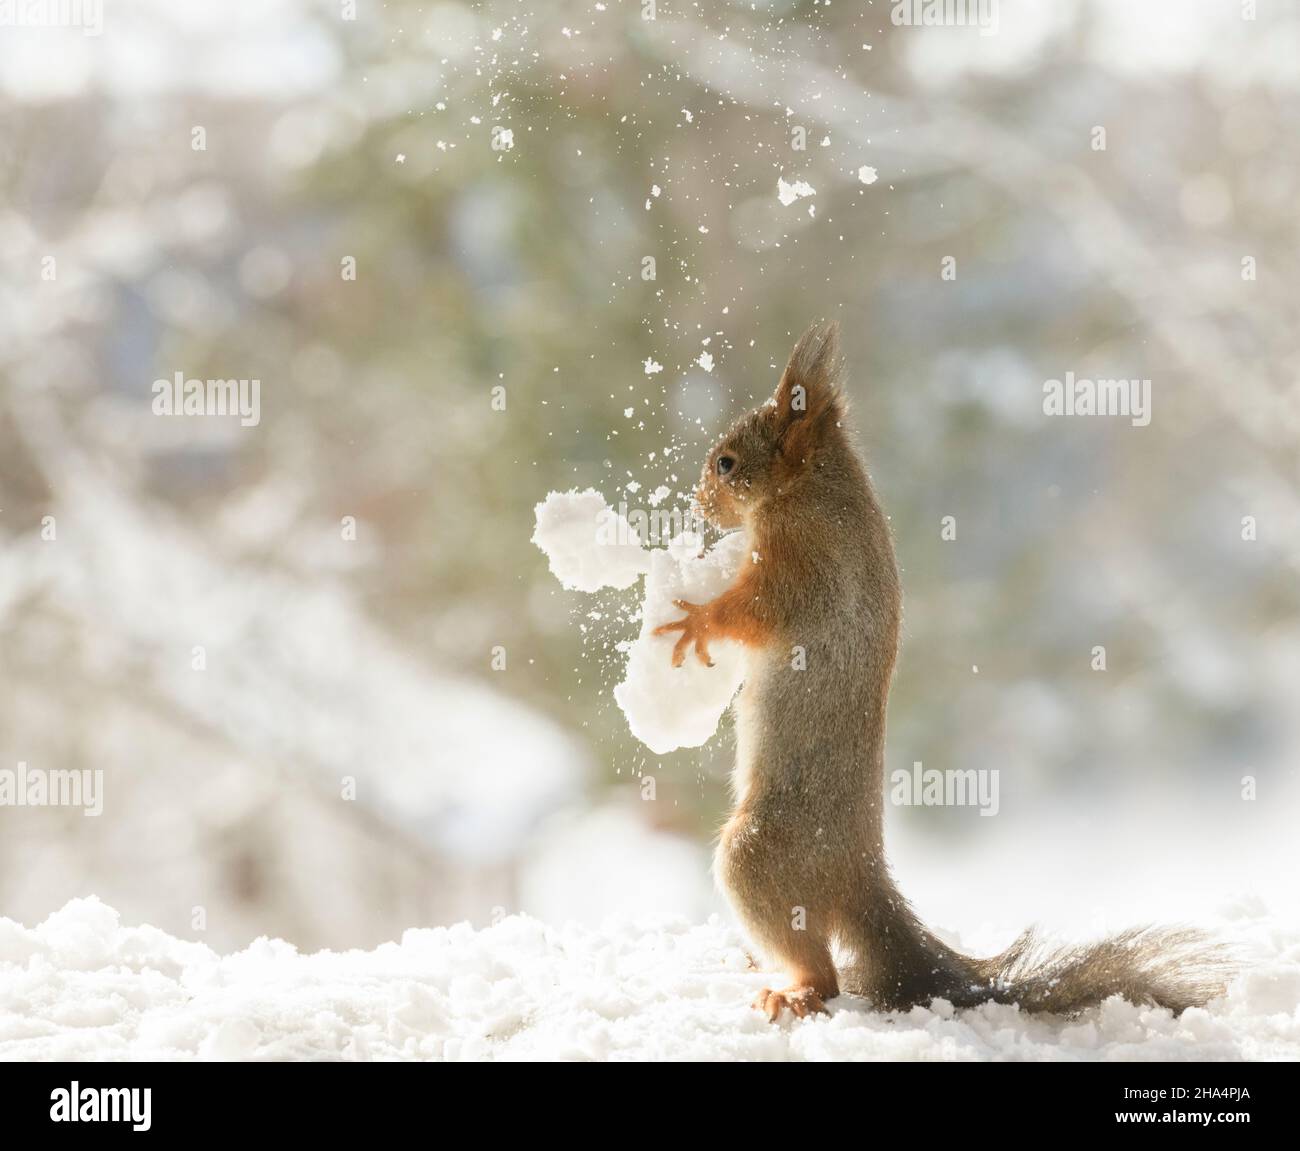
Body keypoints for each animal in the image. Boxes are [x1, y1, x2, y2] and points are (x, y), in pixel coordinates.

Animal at [654, 321, 1228, 1021]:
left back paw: (793, 990)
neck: (811, 486)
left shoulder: (802, 563)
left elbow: (757, 609)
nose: (700, 504)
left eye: (728, 464)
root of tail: (861, 876)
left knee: (824, 971)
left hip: (757, 854)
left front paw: (697, 620)